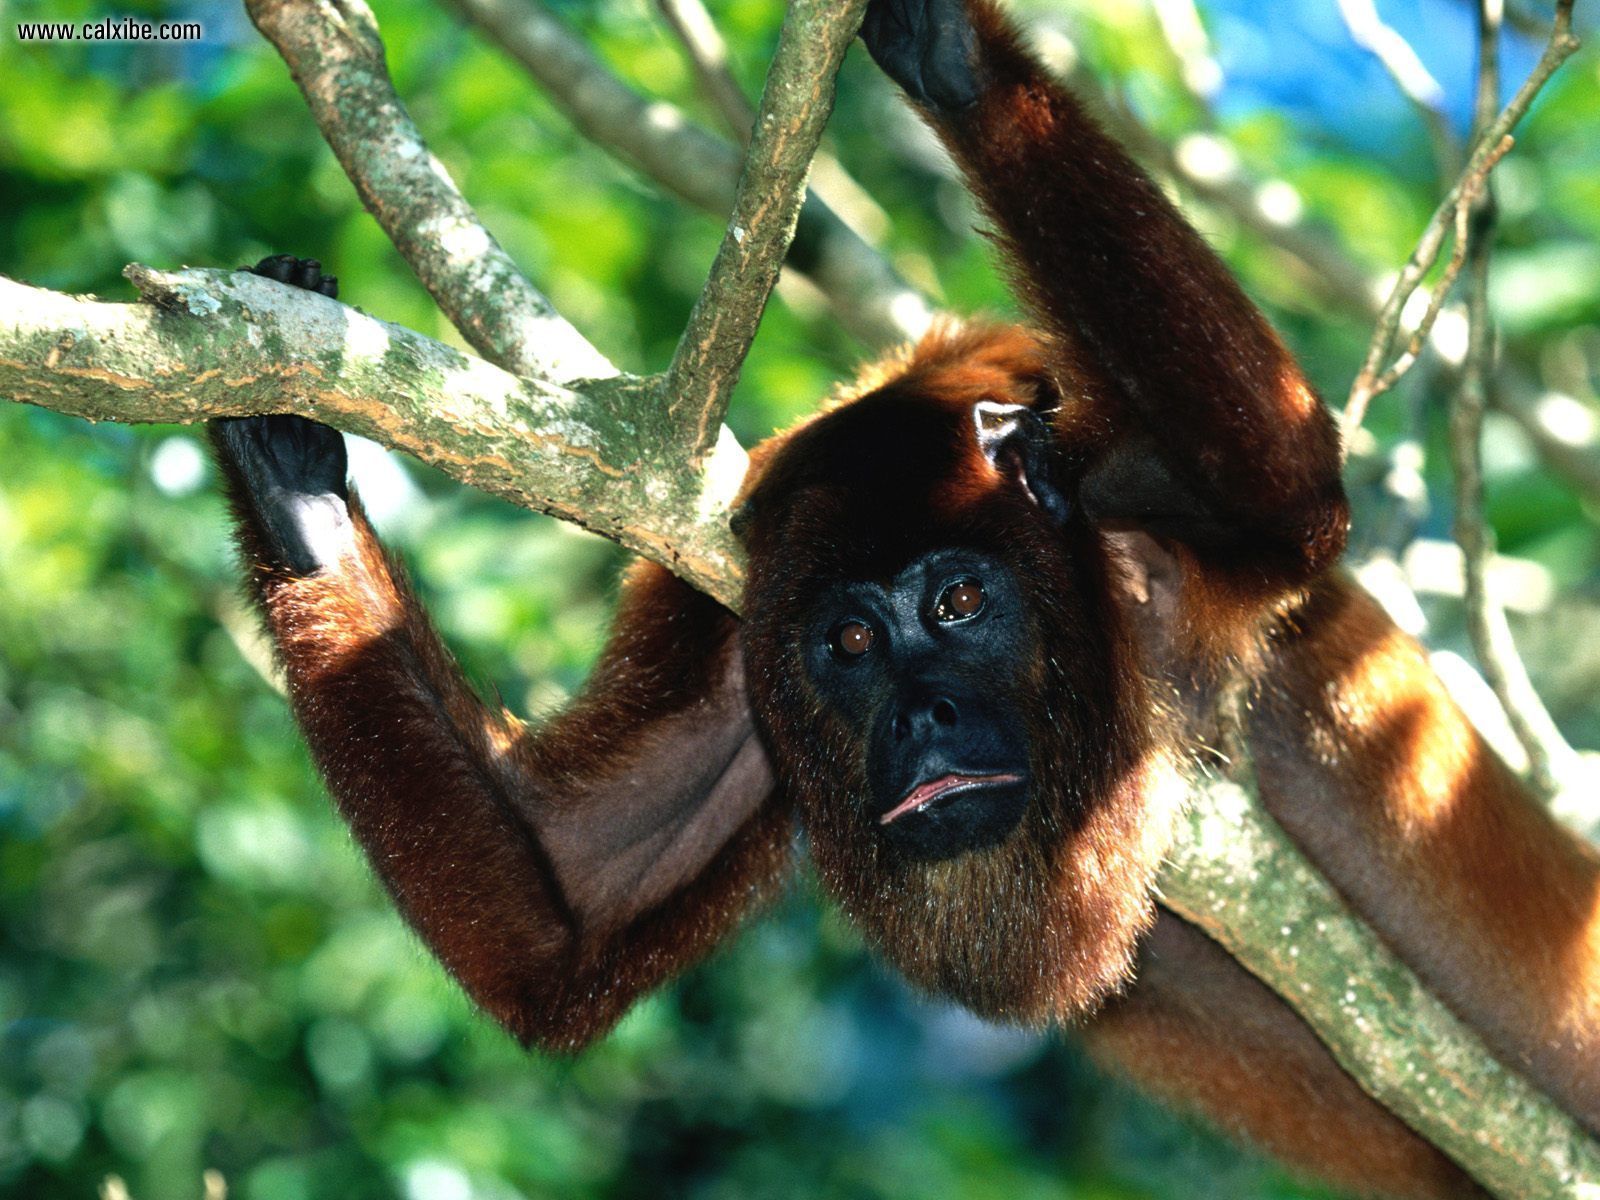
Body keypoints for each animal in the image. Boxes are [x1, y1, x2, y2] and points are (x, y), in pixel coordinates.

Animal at [205, 0, 1600, 1195]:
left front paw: (949, 54)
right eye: (850, 641)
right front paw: (290, 471)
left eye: (960, 606)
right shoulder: (733, 623)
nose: (921, 713)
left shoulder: (1117, 494)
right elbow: (572, 902)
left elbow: (1293, 488)